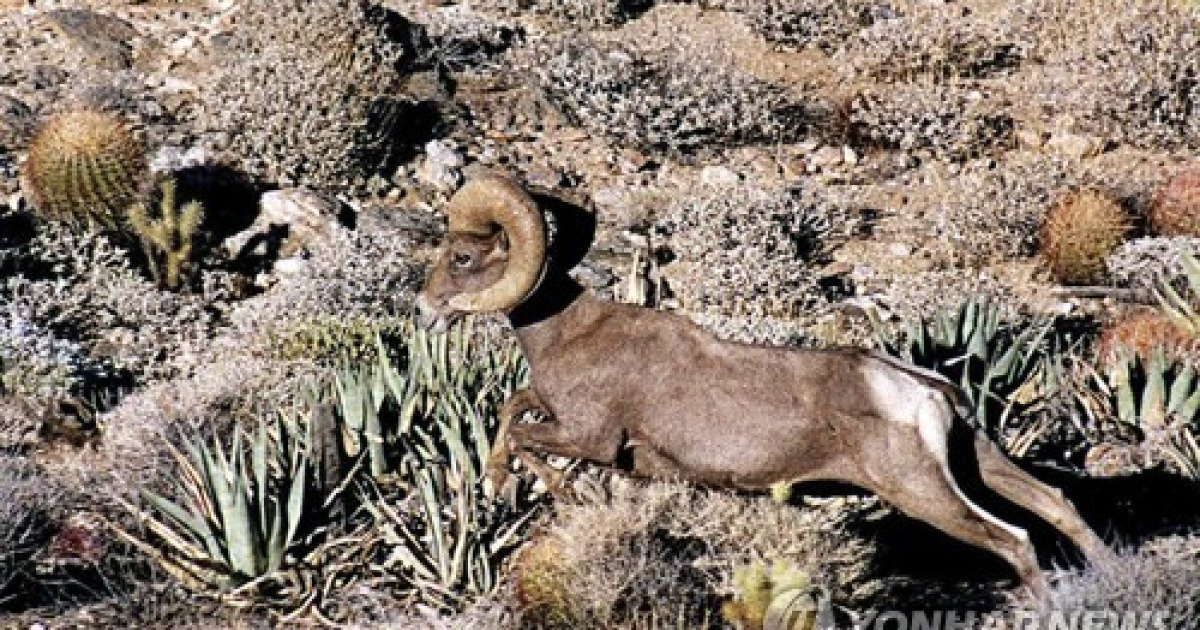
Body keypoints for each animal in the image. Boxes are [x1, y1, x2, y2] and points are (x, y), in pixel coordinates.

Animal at [415, 173, 1114, 596]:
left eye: (463, 258)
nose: (424, 312)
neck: (569, 332)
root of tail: (922, 392)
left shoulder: (590, 439)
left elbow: (522, 434)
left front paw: (536, 487)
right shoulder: (554, 413)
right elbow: (513, 410)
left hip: (923, 493)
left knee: (1014, 540)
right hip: (977, 461)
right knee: (1055, 504)